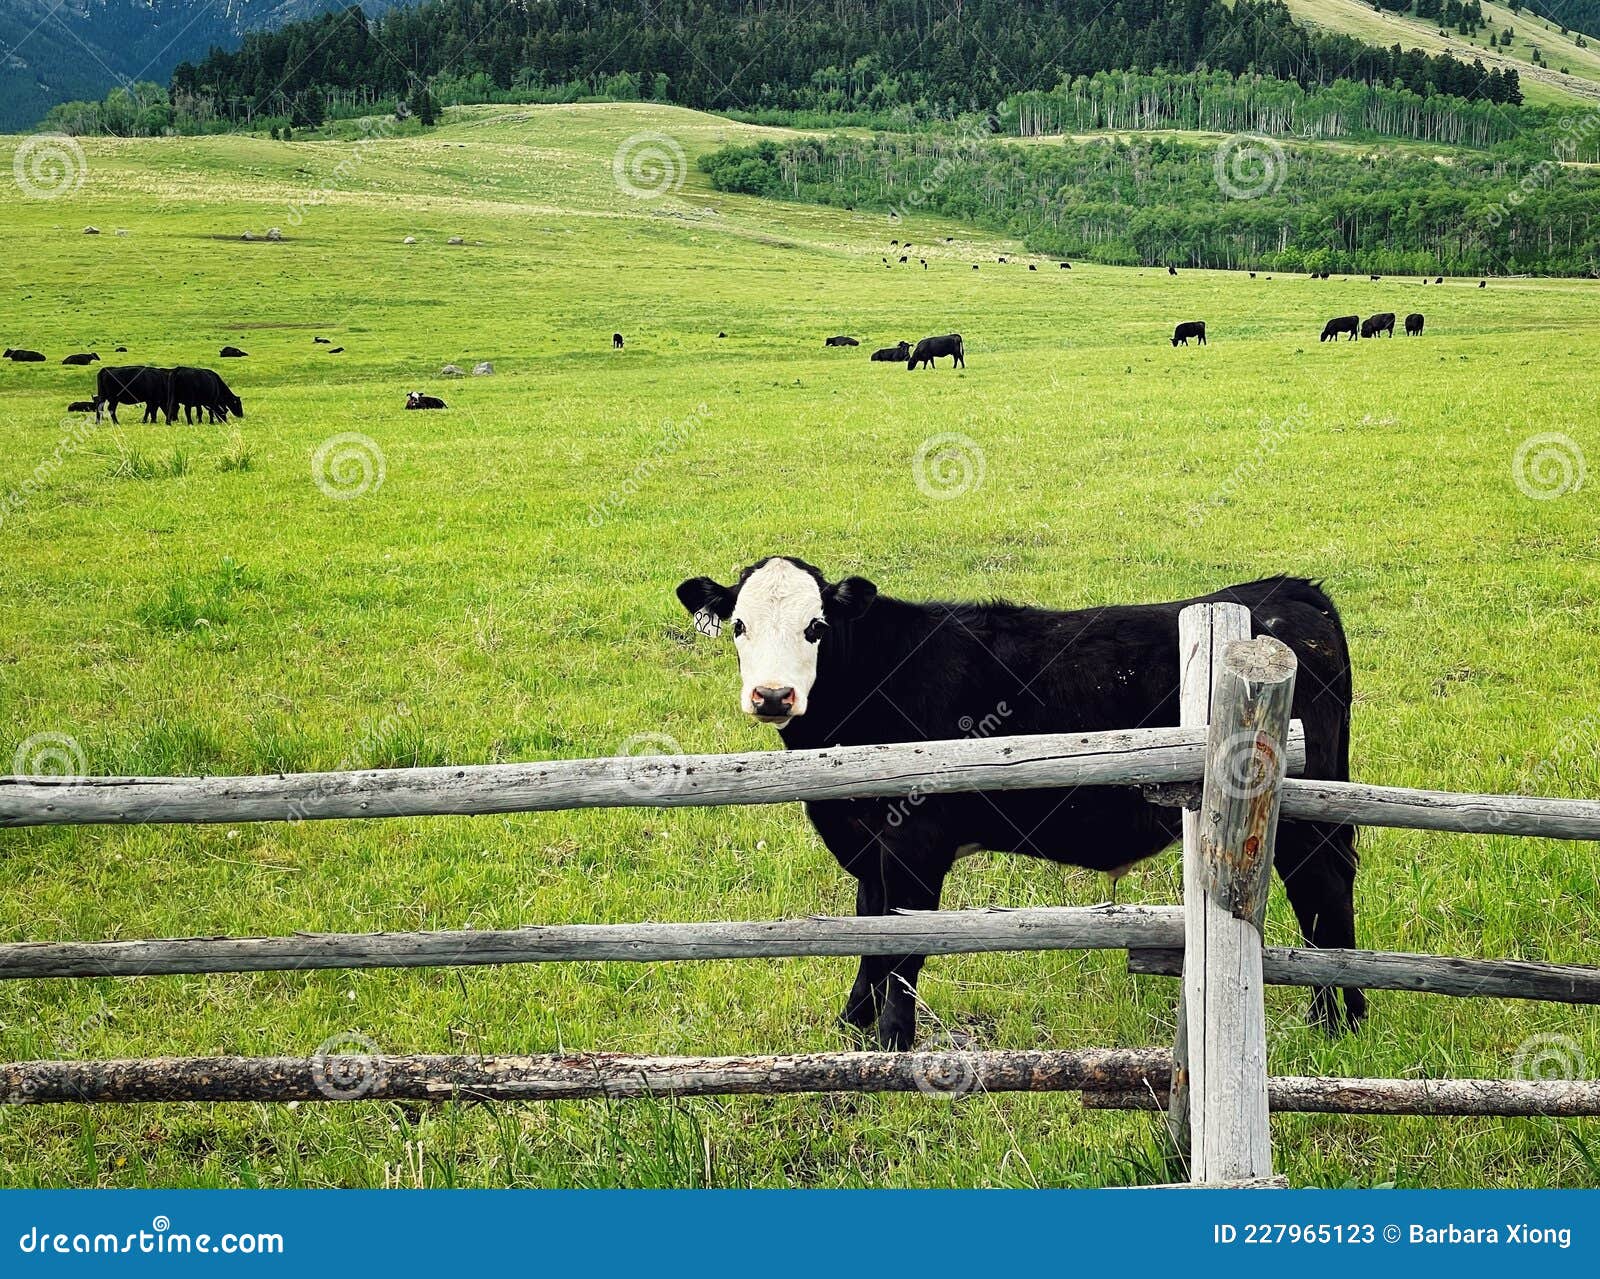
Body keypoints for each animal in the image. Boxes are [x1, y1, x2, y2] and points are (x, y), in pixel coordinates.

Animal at [674, 558, 1364, 1047]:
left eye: (814, 627)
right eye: (739, 625)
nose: (772, 695)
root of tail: (1287, 592)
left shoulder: (915, 846)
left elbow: (902, 948)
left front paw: (892, 1047)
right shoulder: (870, 844)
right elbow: (869, 933)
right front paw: (851, 1029)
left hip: (1302, 819)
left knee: (1323, 891)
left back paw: (1338, 1021)